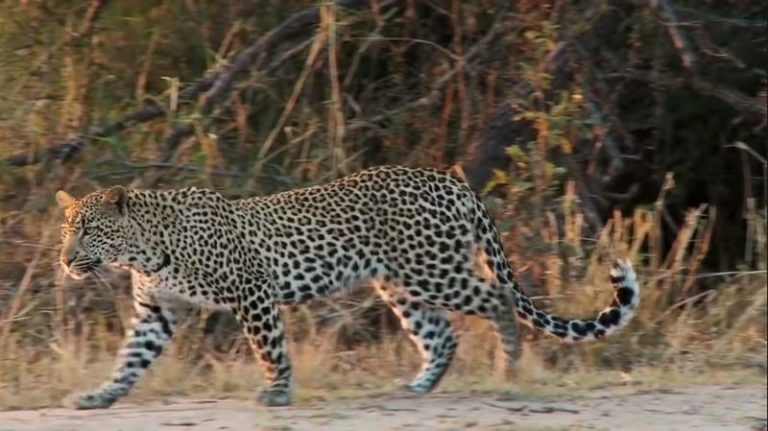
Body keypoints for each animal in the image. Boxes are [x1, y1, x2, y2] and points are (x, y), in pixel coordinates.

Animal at [55, 165, 639, 410]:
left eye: (89, 229)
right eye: (66, 231)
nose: (64, 260)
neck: (144, 250)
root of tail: (452, 181)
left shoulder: (252, 292)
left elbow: (270, 349)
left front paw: (278, 392)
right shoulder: (157, 311)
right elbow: (130, 359)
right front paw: (100, 396)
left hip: (434, 269)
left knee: (496, 299)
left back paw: (509, 366)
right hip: (400, 285)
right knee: (442, 335)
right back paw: (420, 386)